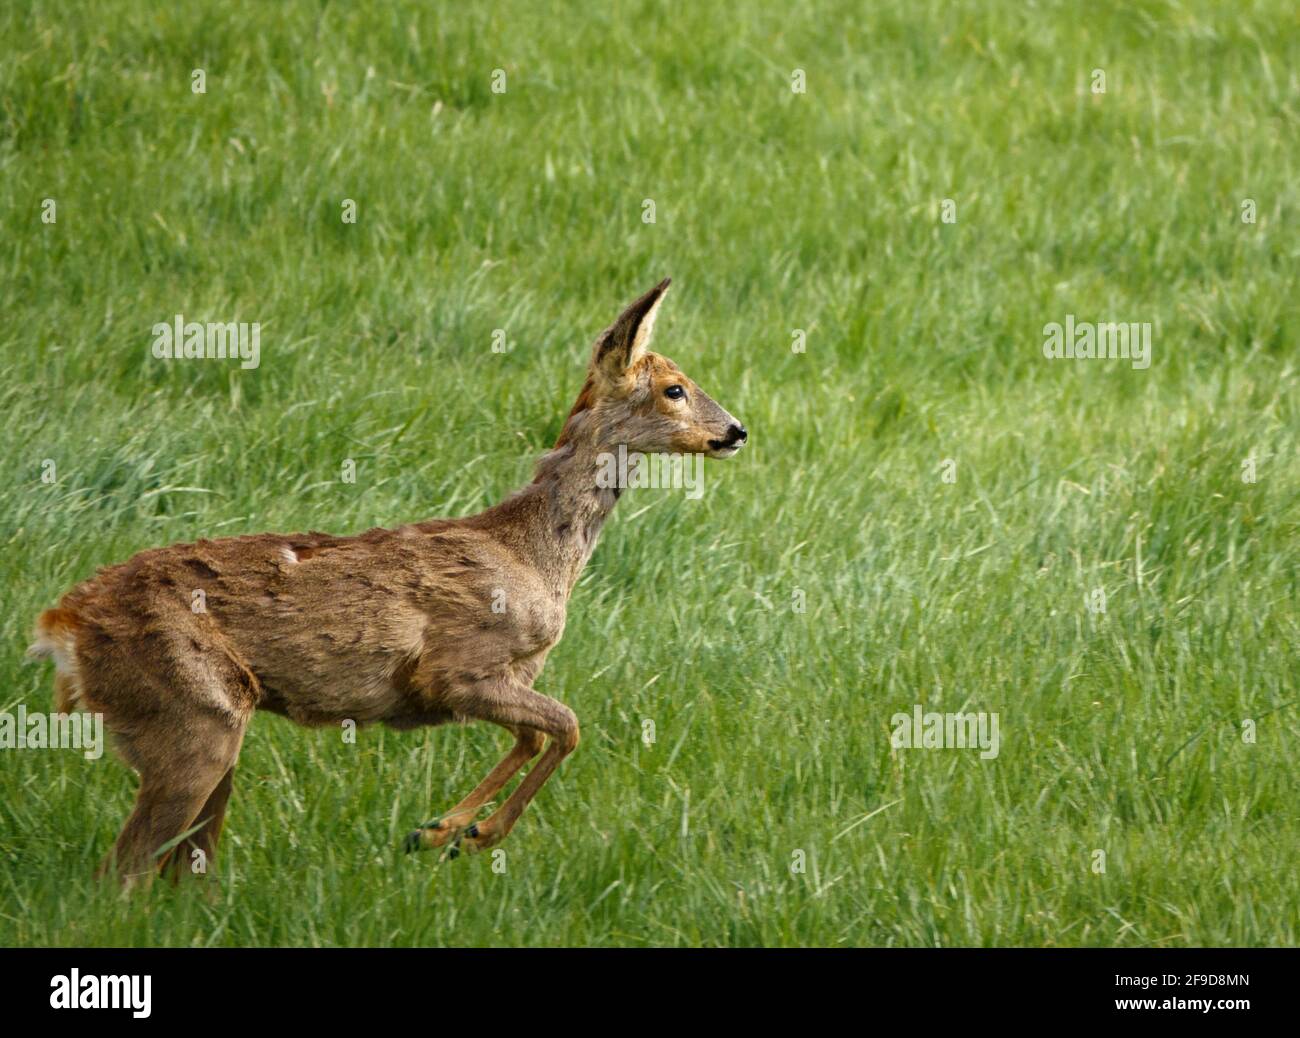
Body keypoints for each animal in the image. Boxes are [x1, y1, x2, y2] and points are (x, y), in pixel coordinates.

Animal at [28, 278, 747, 885]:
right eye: (675, 389)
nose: (736, 430)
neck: (535, 557)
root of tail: (63, 626)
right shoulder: (455, 670)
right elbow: (566, 726)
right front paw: (460, 834)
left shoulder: (503, 679)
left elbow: (535, 732)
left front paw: (443, 830)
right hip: (192, 711)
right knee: (121, 873)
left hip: (206, 727)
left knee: (178, 870)